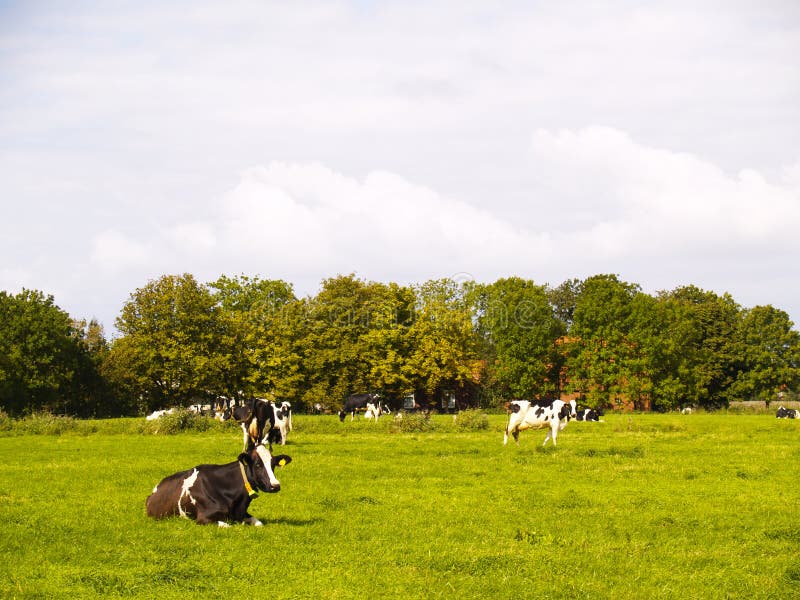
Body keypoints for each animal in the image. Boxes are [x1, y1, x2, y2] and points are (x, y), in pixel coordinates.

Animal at [146, 444, 291, 527]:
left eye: (273, 465)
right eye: (258, 465)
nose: (275, 485)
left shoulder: (242, 513)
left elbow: (259, 523)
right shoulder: (203, 518)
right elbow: (228, 526)